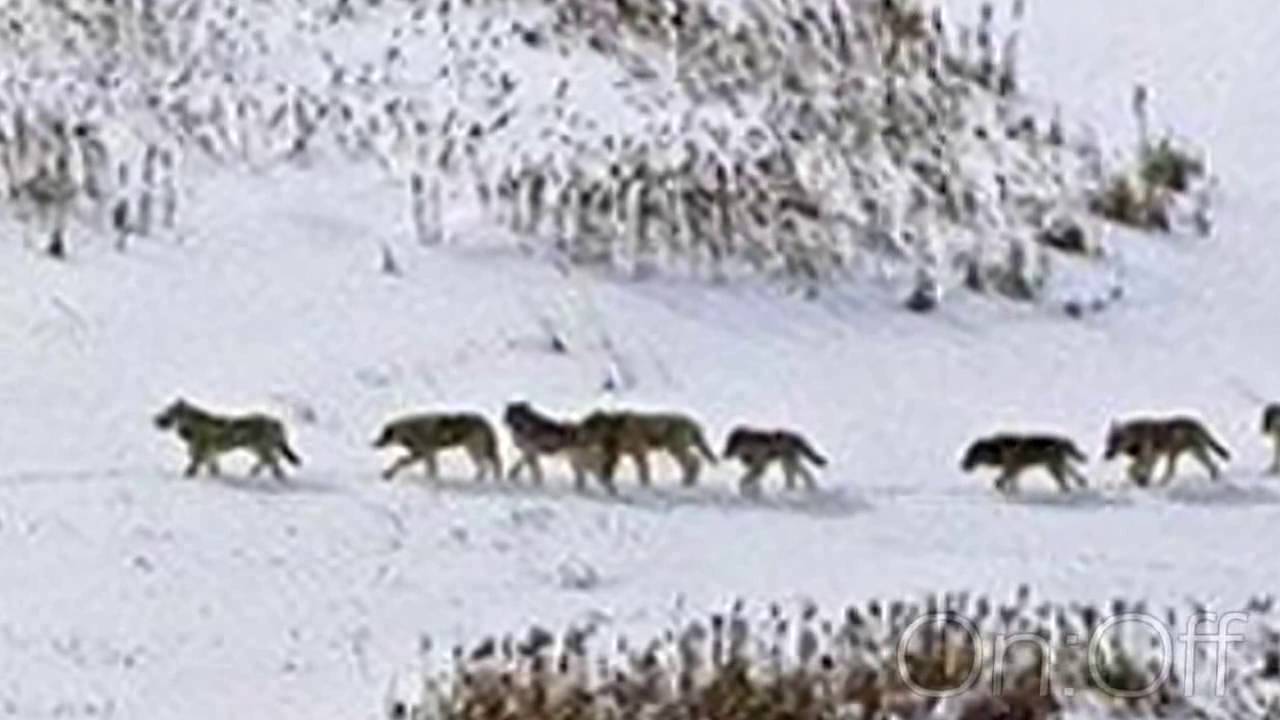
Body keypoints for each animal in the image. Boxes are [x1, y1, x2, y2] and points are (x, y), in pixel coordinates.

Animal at [154, 397, 302, 479]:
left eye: (169, 412)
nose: (157, 421)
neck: (193, 425)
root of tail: (277, 423)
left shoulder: (200, 453)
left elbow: (191, 469)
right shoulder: (210, 454)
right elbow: (213, 469)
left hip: (260, 446)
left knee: (272, 460)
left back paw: (271, 475)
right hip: (257, 447)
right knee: (270, 459)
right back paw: (255, 473)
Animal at [373, 412, 502, 482]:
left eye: (385, 435)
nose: (374, 443)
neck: (408, 431)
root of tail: (485, 423)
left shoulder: (427, 452)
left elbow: (430, 468)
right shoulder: (419, 453)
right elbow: (401, 460)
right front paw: (388, 473)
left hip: (474, 449)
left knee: (484, 466)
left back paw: (477, 480)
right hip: (482, 449)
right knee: (494, 462)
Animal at [575, 409, 717, 487]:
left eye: (589, 425)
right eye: (585, 424)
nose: (579, 434)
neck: (614, 429)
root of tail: (694, 425)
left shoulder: (639, 450)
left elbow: (643, 467)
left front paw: (645, 483)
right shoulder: (614, 453)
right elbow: (609, 467)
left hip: (676, 445)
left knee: (692, 461)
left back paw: (687, 481)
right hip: (677, 447)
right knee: (693, 460)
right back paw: (689, 480)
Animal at [960, 433, 1088, 493]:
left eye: (971, 454)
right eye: (968, 453)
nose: (962, 465)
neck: (997, 449)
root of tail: (1063, 440)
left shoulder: (1012, 467)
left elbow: (1000, 482)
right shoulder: (1015, 469)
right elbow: (1011, 483)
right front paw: (1013, 492)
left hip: (1053, 466)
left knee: (1065, 482)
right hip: (1053, 464)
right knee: (1070, 471)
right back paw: (1081, 482)